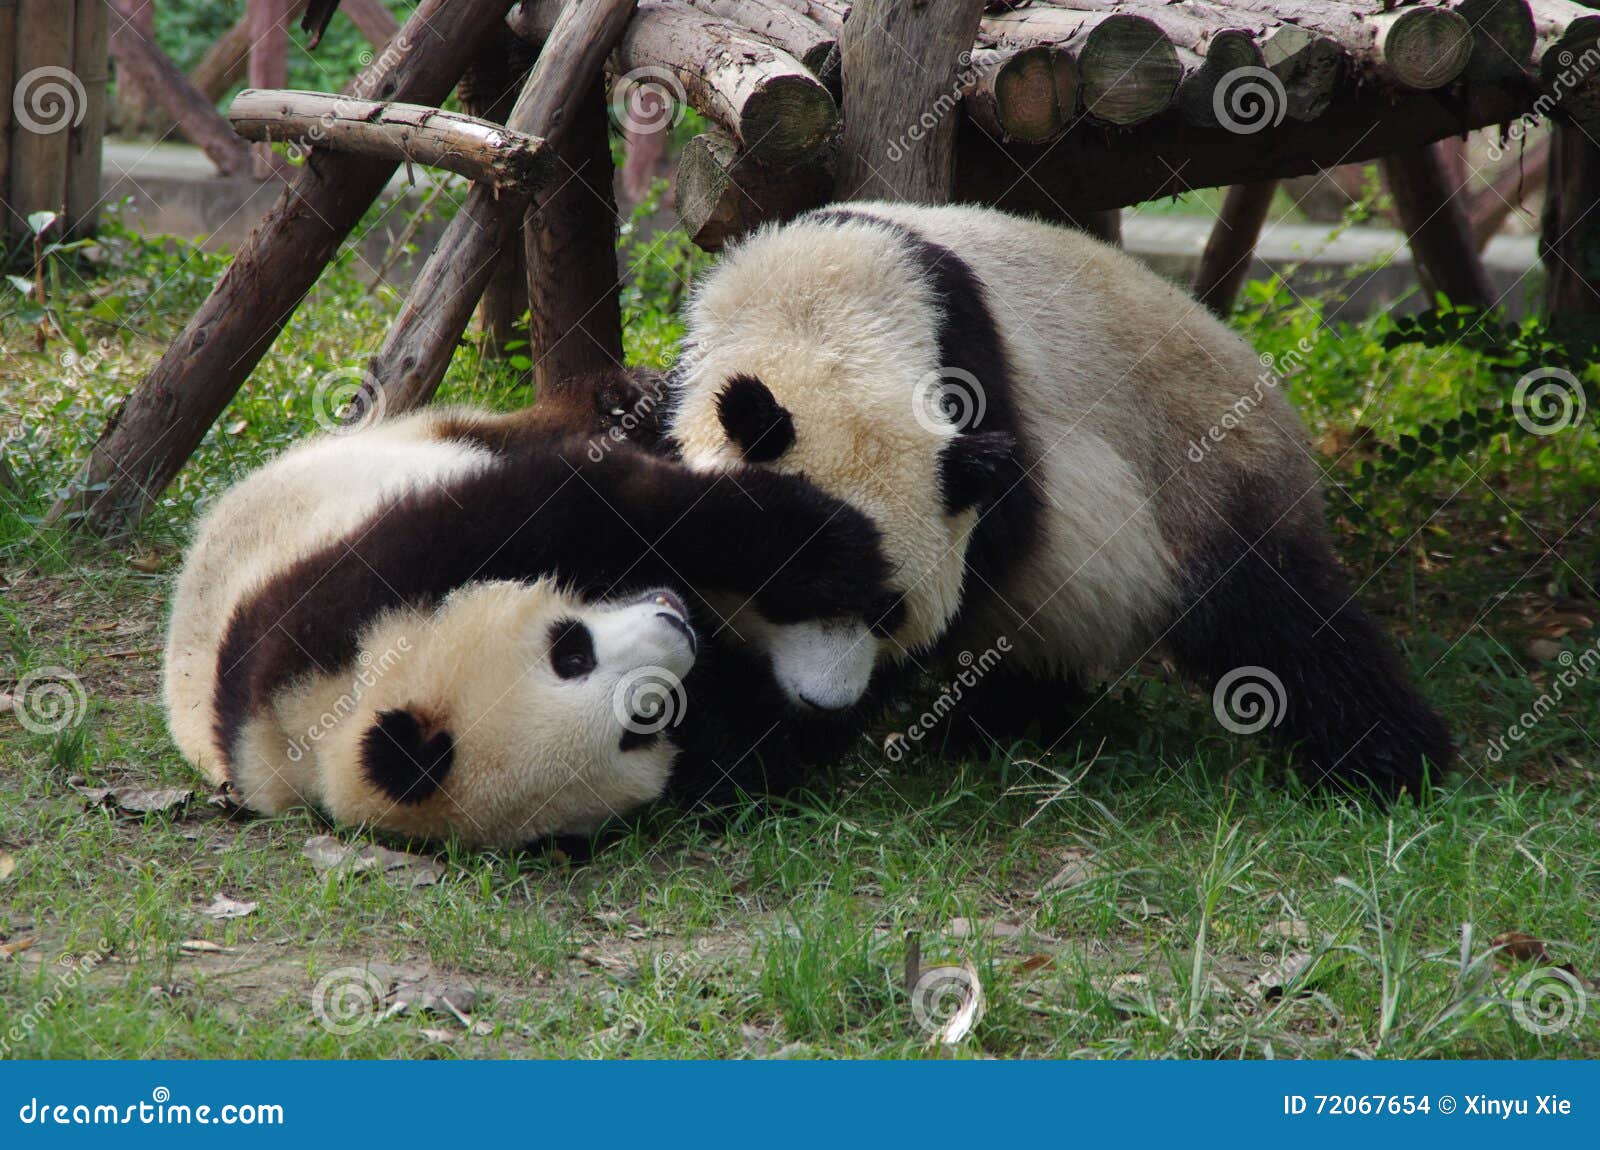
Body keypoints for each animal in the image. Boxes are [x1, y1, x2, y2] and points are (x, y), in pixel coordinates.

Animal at [164, 371, 893, 847]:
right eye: (643, 725)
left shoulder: (359, 586)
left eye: (569, 650)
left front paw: (835, 550)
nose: (672, 623)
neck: (327, 721)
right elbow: (748, 755)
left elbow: (587, 497)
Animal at [666, 202, 1454, 794]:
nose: (819, 701)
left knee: (1281, 623)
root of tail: (1276, 399)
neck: (821, 309)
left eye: (890, 611)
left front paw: (745, 750)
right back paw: (1005, 726)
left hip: (1207, 476)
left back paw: (1388, 763)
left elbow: (983, 561)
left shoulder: (975, 390)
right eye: (793, 592)